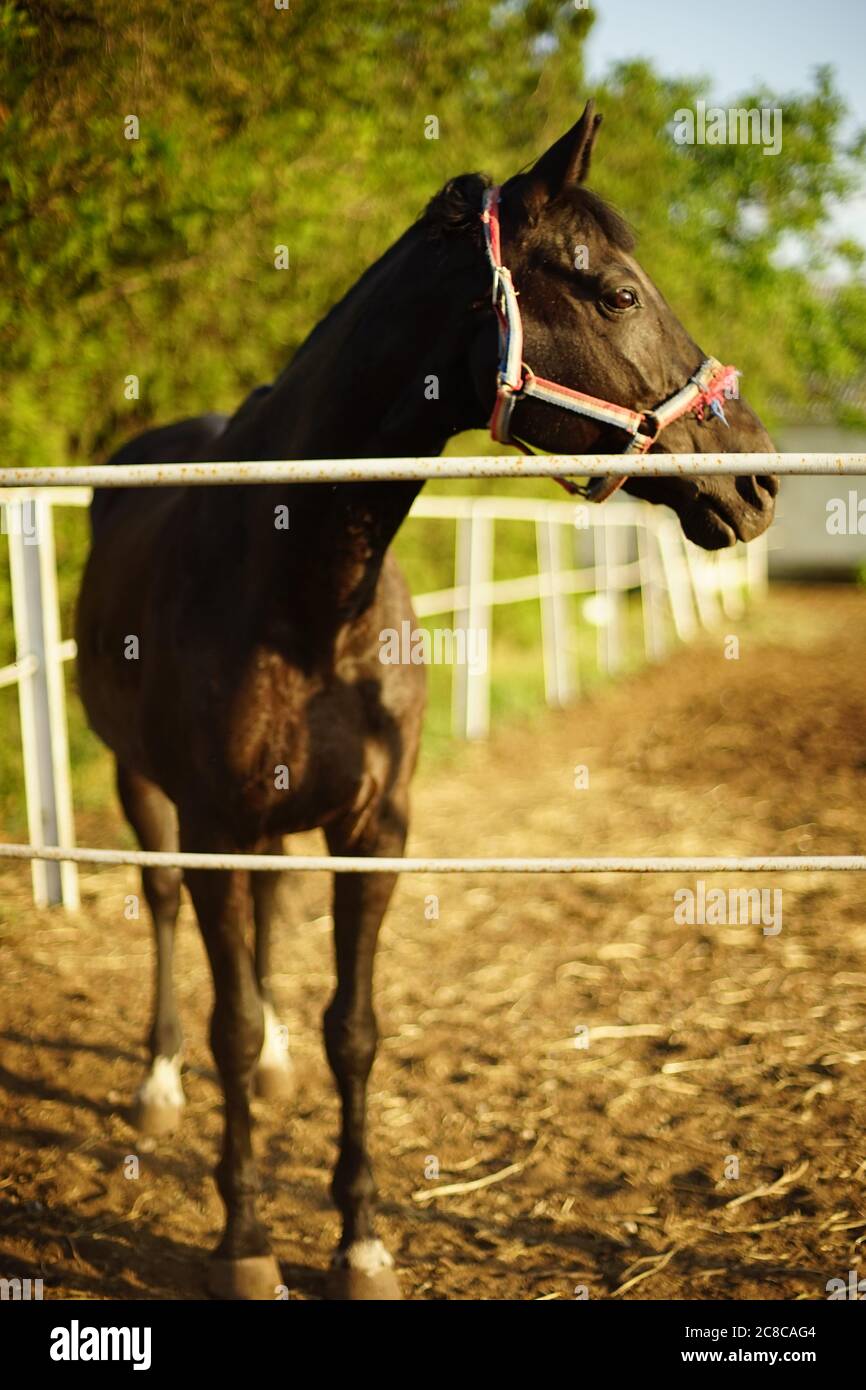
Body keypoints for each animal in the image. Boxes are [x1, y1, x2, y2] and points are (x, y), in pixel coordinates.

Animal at [75, 102, 778, 1300]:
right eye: (616, 294)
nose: (759, 477)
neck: (300, 585)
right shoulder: (215, 823)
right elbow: (226, 1018)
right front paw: (245, 1241)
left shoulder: (376, 828)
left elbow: (351, 1027)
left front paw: (359, 1239)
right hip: (144, 785)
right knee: (164, 908)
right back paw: (159, 1085)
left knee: (271, 920)